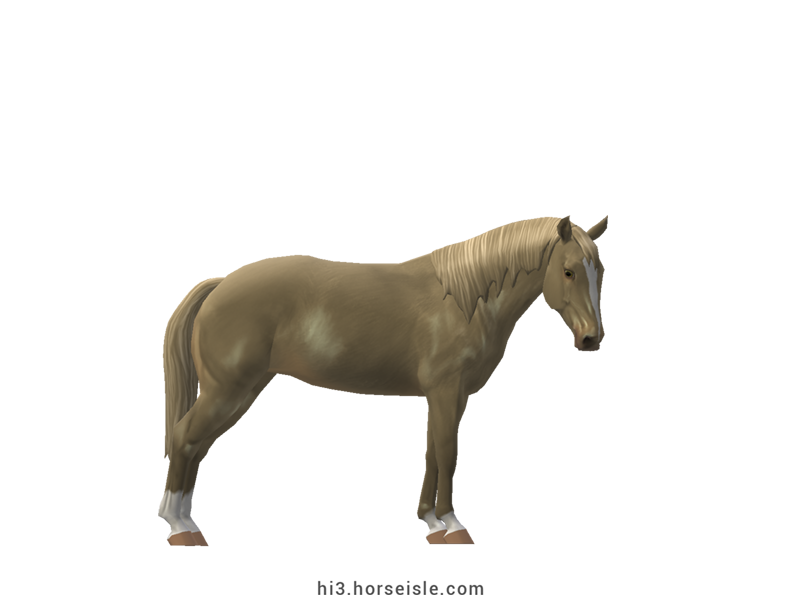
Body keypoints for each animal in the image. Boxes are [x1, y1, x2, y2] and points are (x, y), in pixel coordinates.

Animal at [158, 215, 606, 542]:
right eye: (569, 271)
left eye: (596, 269)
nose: (589, 337)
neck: (464, 300)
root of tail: (220, 286)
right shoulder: (445, 389)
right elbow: (448, 451)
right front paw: (451, 521)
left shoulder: (445, 393)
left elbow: (432, 453)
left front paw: (428, 520)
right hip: (225, 391)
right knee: (183, 437)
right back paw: (177, 523)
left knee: (192, 443)